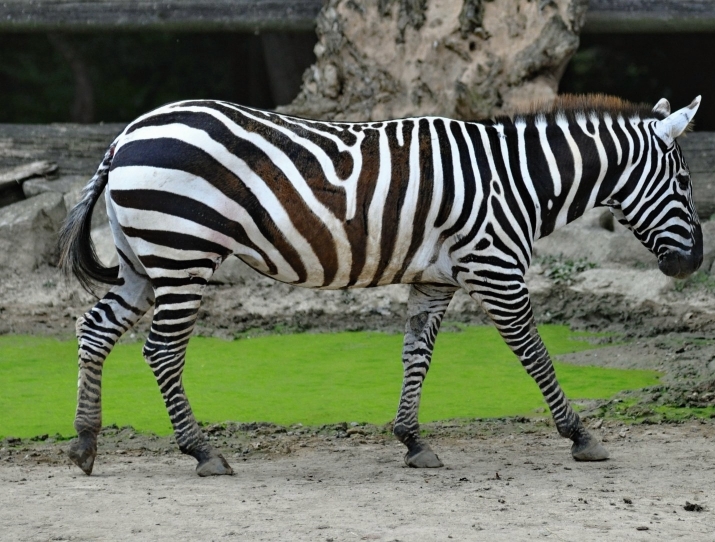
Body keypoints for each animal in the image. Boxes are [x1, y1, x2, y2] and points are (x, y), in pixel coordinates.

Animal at [59, 94, 703, 476]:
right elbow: (536, 355)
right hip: (182, 252)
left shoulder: (435, 278)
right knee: (161, 350)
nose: (692, 264)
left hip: (144, 259)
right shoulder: (494, 268)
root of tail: (125, 135)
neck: (514, 180)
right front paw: (582, 436)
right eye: (685, 183)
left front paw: (413, 441)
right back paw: (203, 451)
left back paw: (85, 444)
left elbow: (417, 356)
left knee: (95, 330)